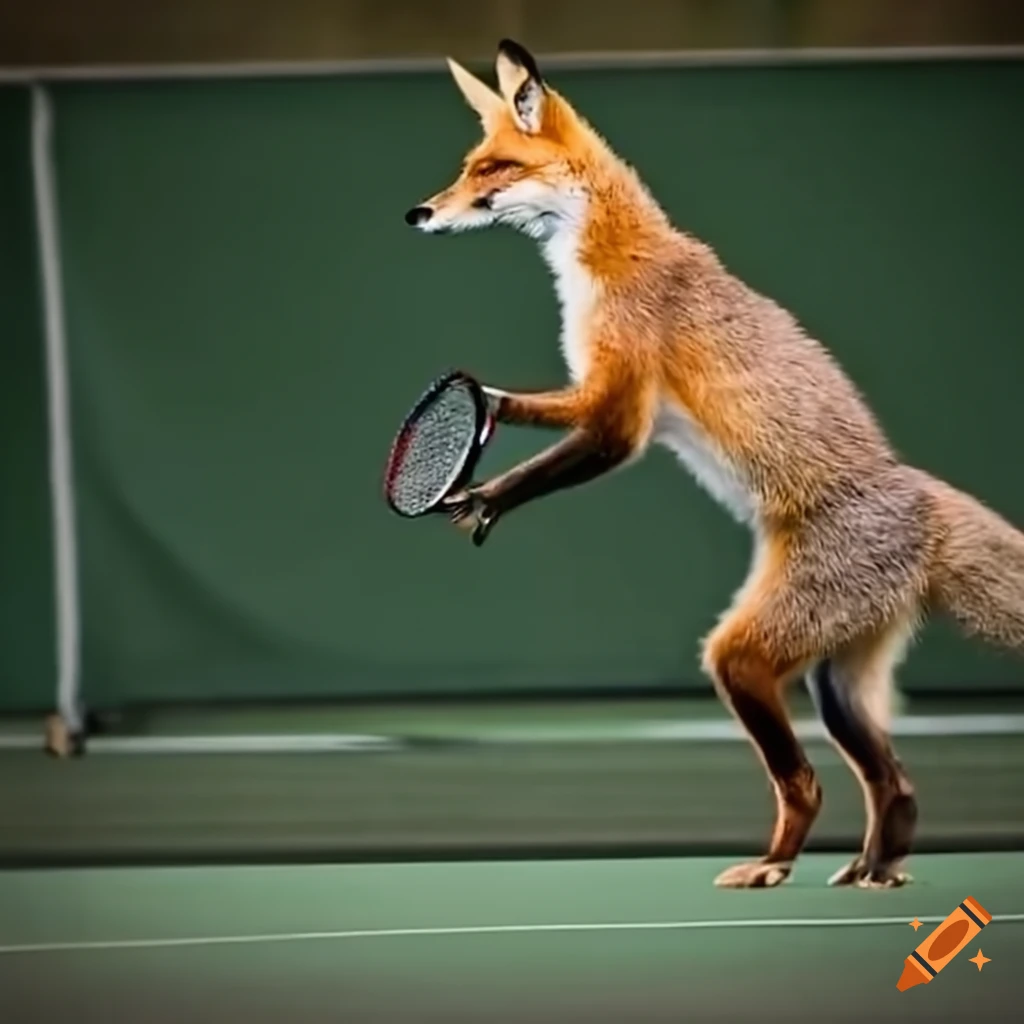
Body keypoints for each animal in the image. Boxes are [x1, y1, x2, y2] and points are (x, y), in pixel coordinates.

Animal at [404, 39, 1024, 889]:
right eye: (470, 165)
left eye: (492, 168)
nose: (418, 214)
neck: (607, 255)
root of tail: (925, 499)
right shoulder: (603, 392)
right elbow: (526, 408)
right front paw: (477, 413)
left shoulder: (624, 410)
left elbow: (577, 448)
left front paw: (488, 494)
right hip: (836, 681)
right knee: (894, 782)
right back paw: (875, 871)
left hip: (745, 655)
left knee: (806, 780)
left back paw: (776, 866)